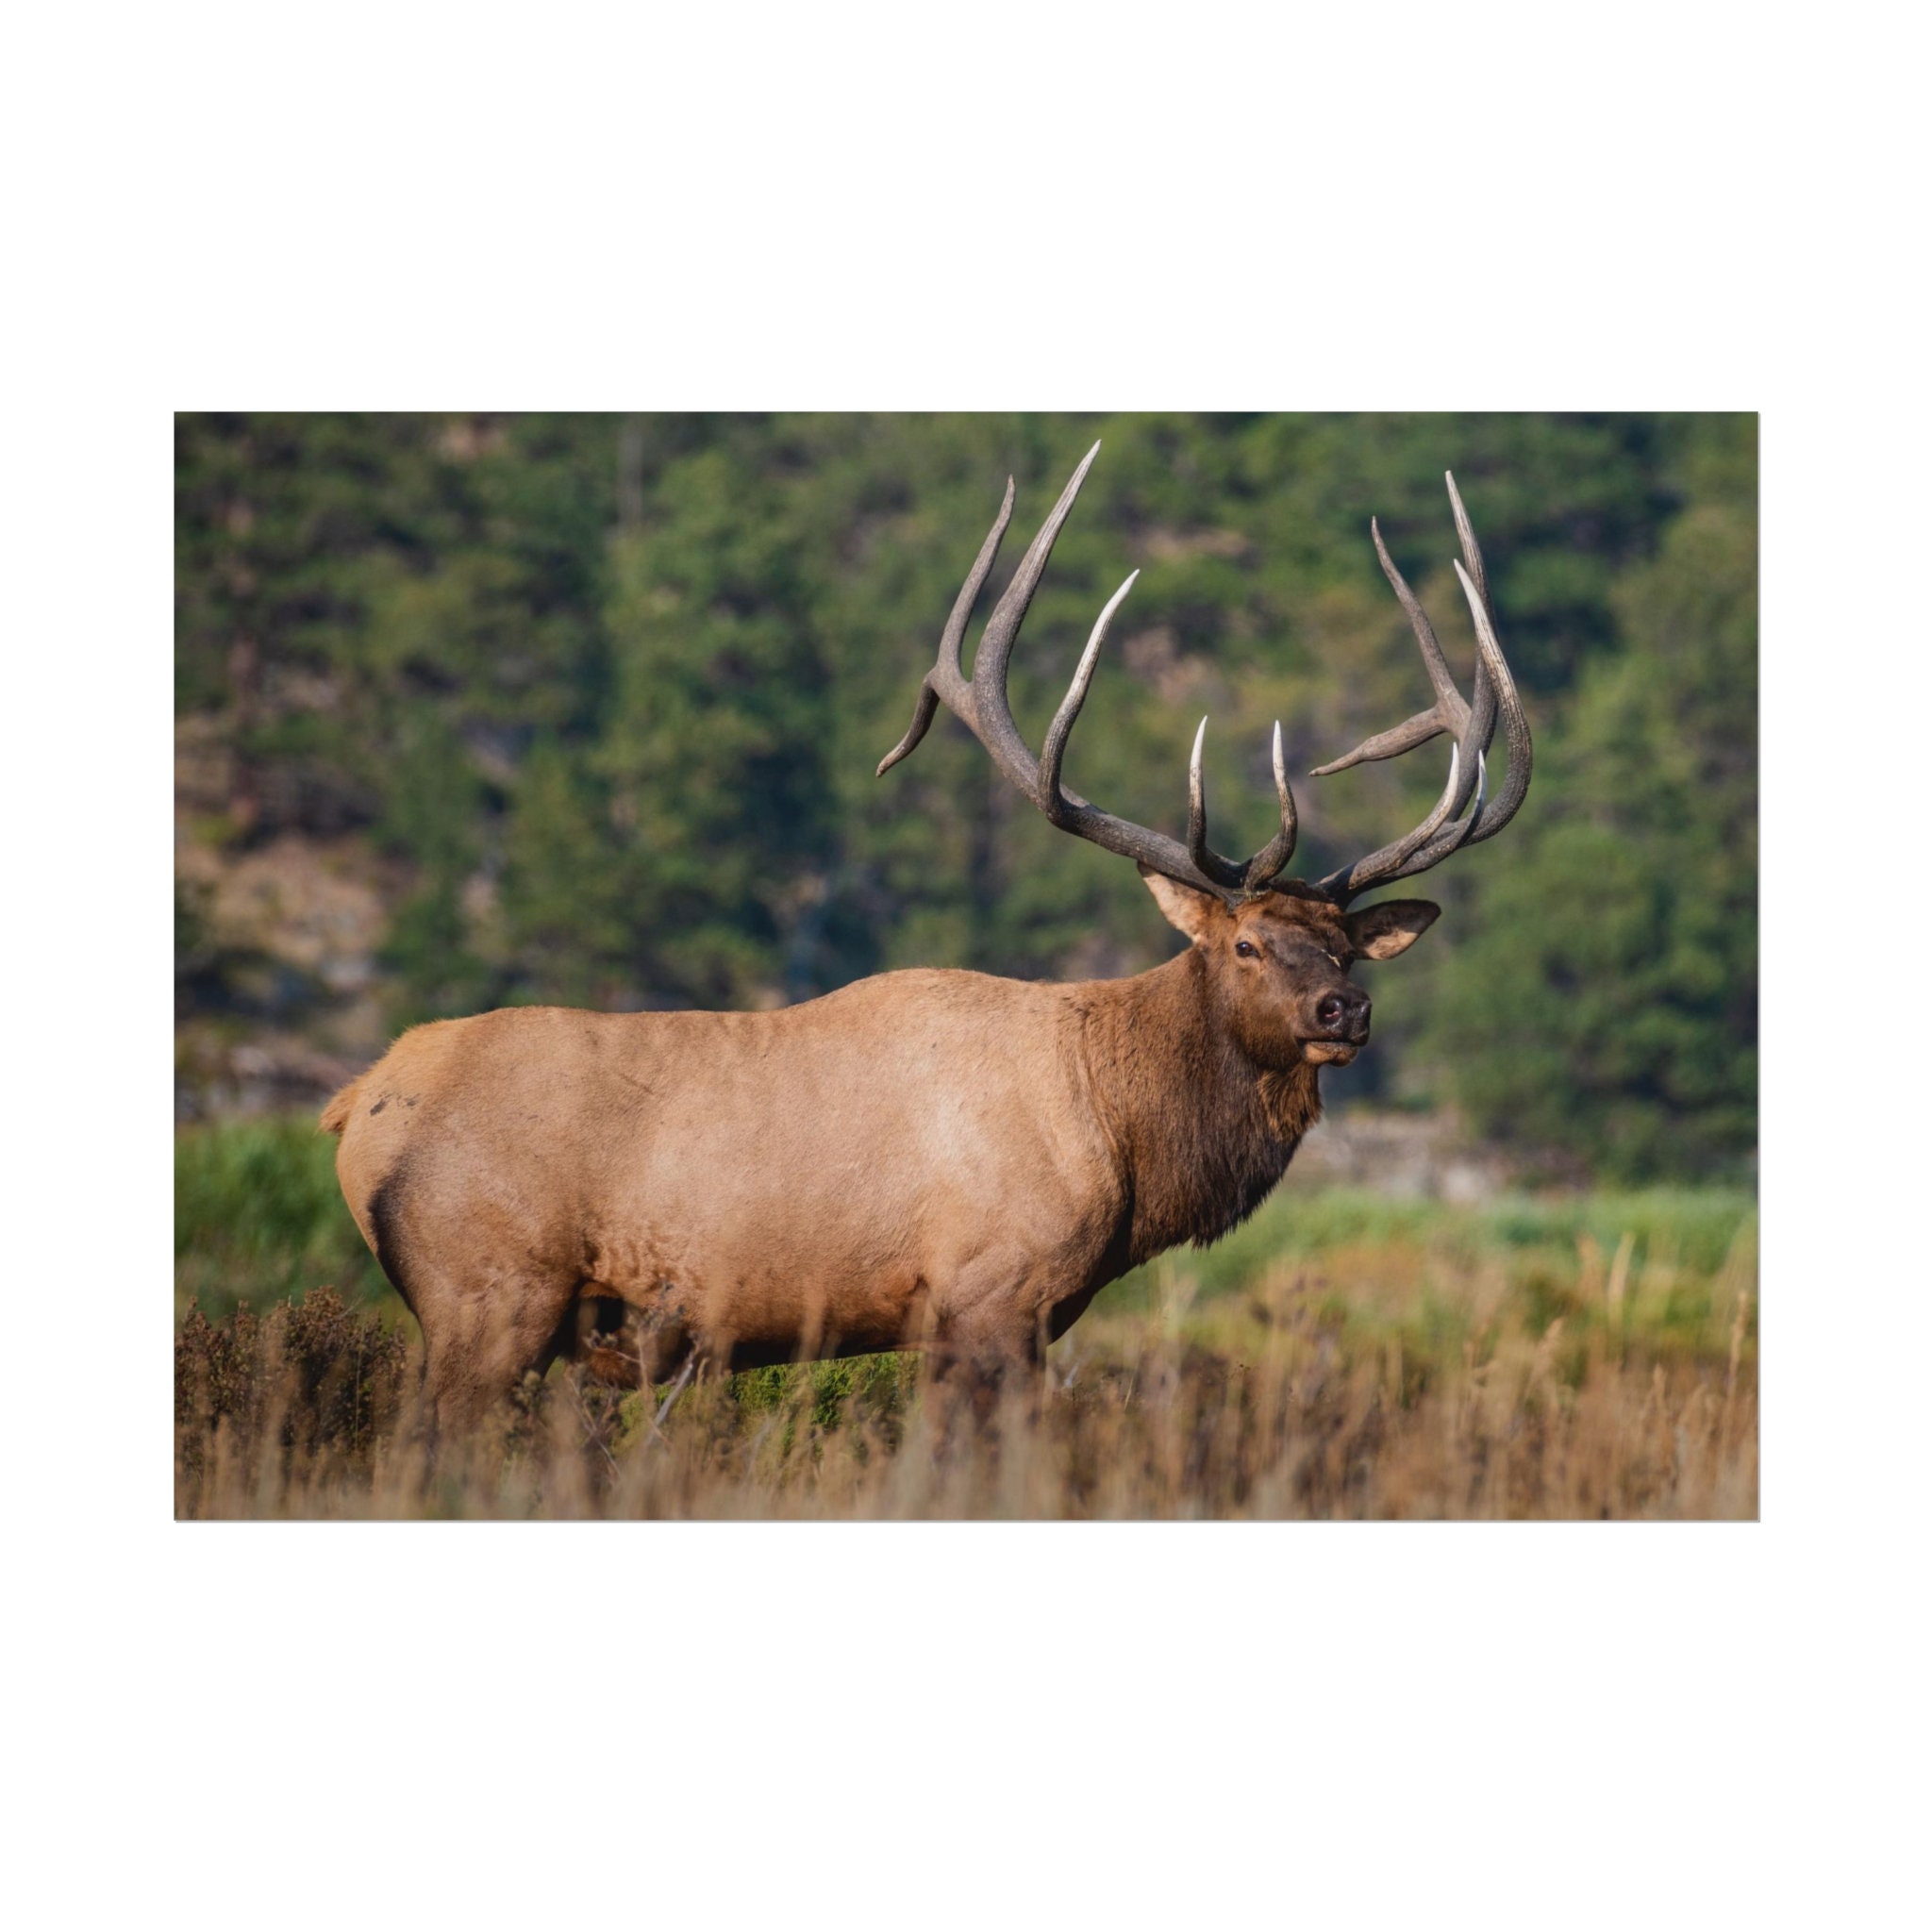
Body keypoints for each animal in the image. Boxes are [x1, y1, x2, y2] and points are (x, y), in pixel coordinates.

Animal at [322, 443, 1531, 1430]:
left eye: (1345, 944)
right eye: (1242, 945)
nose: (1344, 1009)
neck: (1124, 1134)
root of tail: (355, 1103)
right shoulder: (991, 1293)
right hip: (488, 1288)